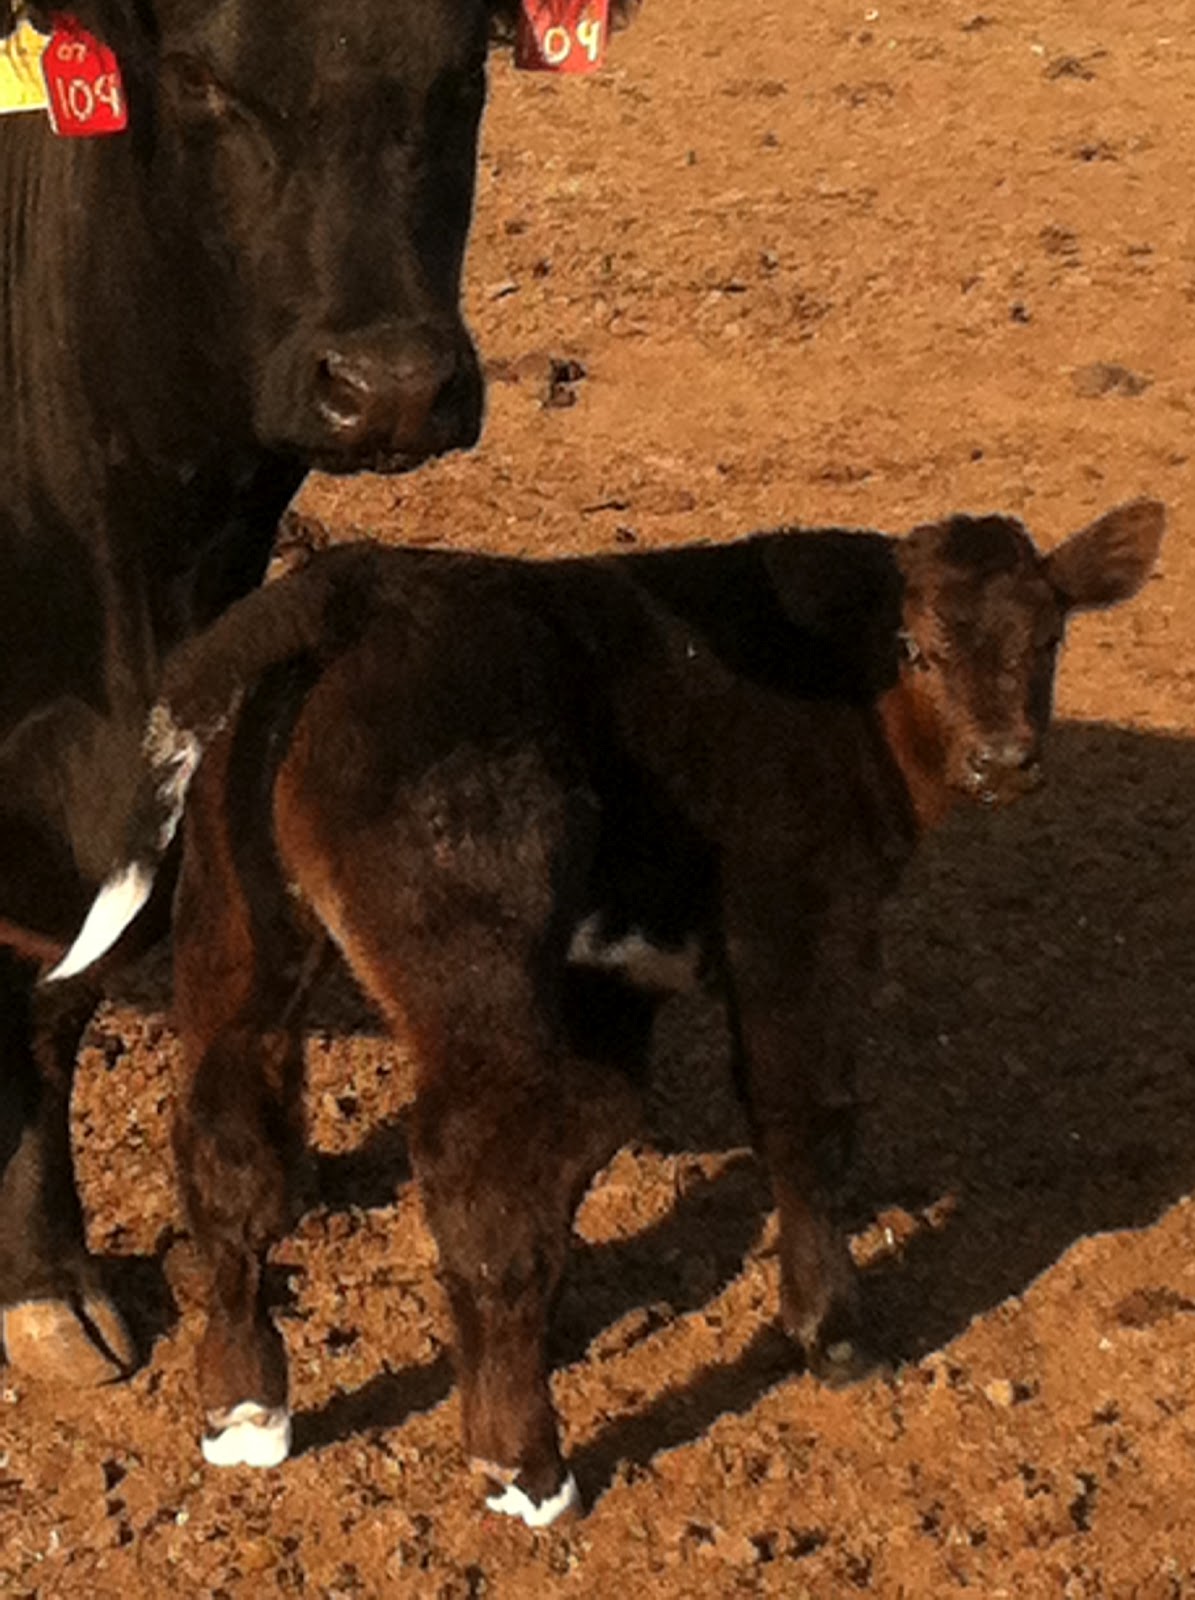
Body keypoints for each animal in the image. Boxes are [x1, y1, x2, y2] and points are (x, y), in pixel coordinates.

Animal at [49, 497, 1164, 1524]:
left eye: (1049, 637)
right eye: (919, 648)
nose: (1002, 759)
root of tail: (354, 585)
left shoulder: (607, 976)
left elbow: (599, 1125)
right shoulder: (801, 917)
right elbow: (802, 1119)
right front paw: (834, 1333)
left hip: (237, 925)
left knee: (229, 1132)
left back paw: (247, 1408)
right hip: (472, 959)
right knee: (475, 1161)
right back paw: (524, 1464)